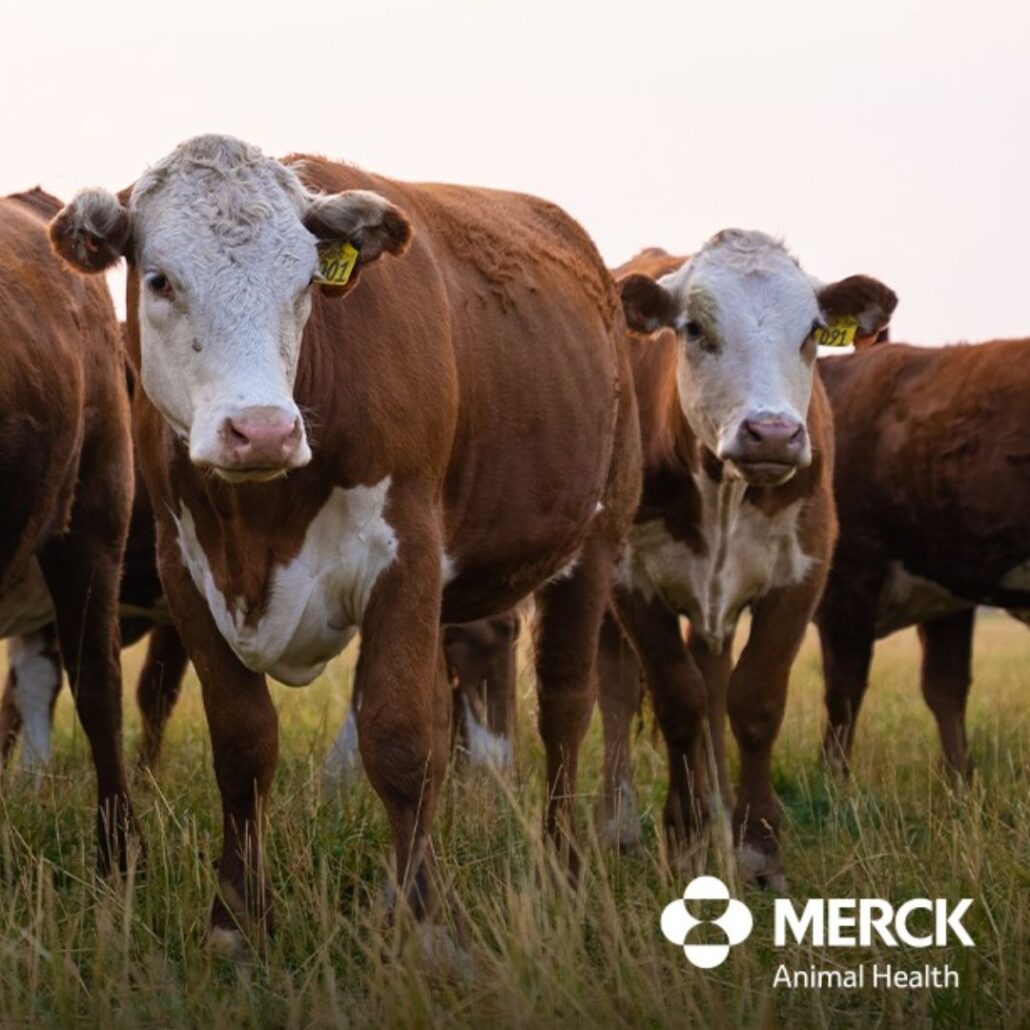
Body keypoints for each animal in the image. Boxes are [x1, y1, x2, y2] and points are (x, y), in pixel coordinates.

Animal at [50, 135, 641, 954]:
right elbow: (243, 746)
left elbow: (400, 741)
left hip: (593, 543)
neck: (259, 517)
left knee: (563, 709)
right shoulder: (187, 574)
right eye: (160, 278)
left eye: (304, 280)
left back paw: (562, 869)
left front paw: (429, 927)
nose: (262, 429)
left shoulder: (406, 556)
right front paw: (236, 920)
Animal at [594, 235, 895, 887]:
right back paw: (620, 827)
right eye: (694, 329)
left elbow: (752, 701)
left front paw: (755, 847)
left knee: (713, 685)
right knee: (618, 692)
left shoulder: (801, 573)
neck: (725, 490)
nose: (773, 433)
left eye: (812, 332)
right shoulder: (631, 582)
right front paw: (683, 841)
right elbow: (677, 699)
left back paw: (720, 810)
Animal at [816, 338, 1030, 777]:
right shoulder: (946, 586)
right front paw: (961, 782)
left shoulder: (848, 572)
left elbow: (843, 688)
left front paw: (830, 783)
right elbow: (945, 687)